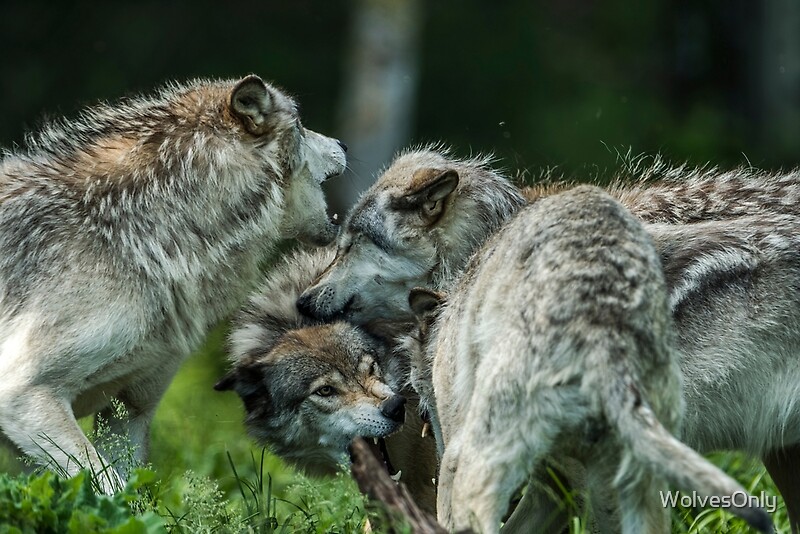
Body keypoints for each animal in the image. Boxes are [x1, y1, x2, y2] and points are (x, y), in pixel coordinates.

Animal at [0, 75, 346, 493]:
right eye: (300, 125)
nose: (344, 145)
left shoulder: (132, 408)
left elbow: (130, 491)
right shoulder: (23, 395)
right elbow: (110, 489)